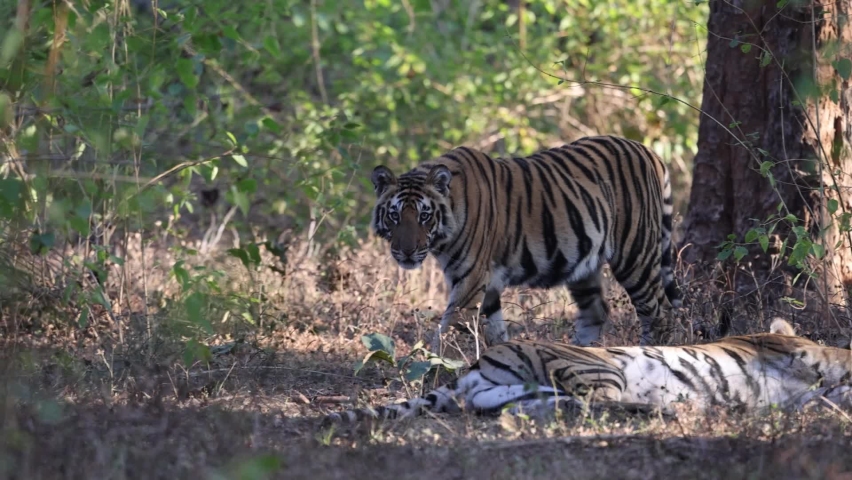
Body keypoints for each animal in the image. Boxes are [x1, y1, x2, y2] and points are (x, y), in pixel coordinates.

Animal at [369, 135, 682, 349]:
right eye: (395, 215)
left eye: (424, 216)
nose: (406, 251)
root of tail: (649, 151)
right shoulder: (489, 285)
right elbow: (495, 331)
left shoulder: (469, 280)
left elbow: (448, 332)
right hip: (585, 266)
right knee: (596, 312)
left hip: (635, 255)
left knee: (659, 312)